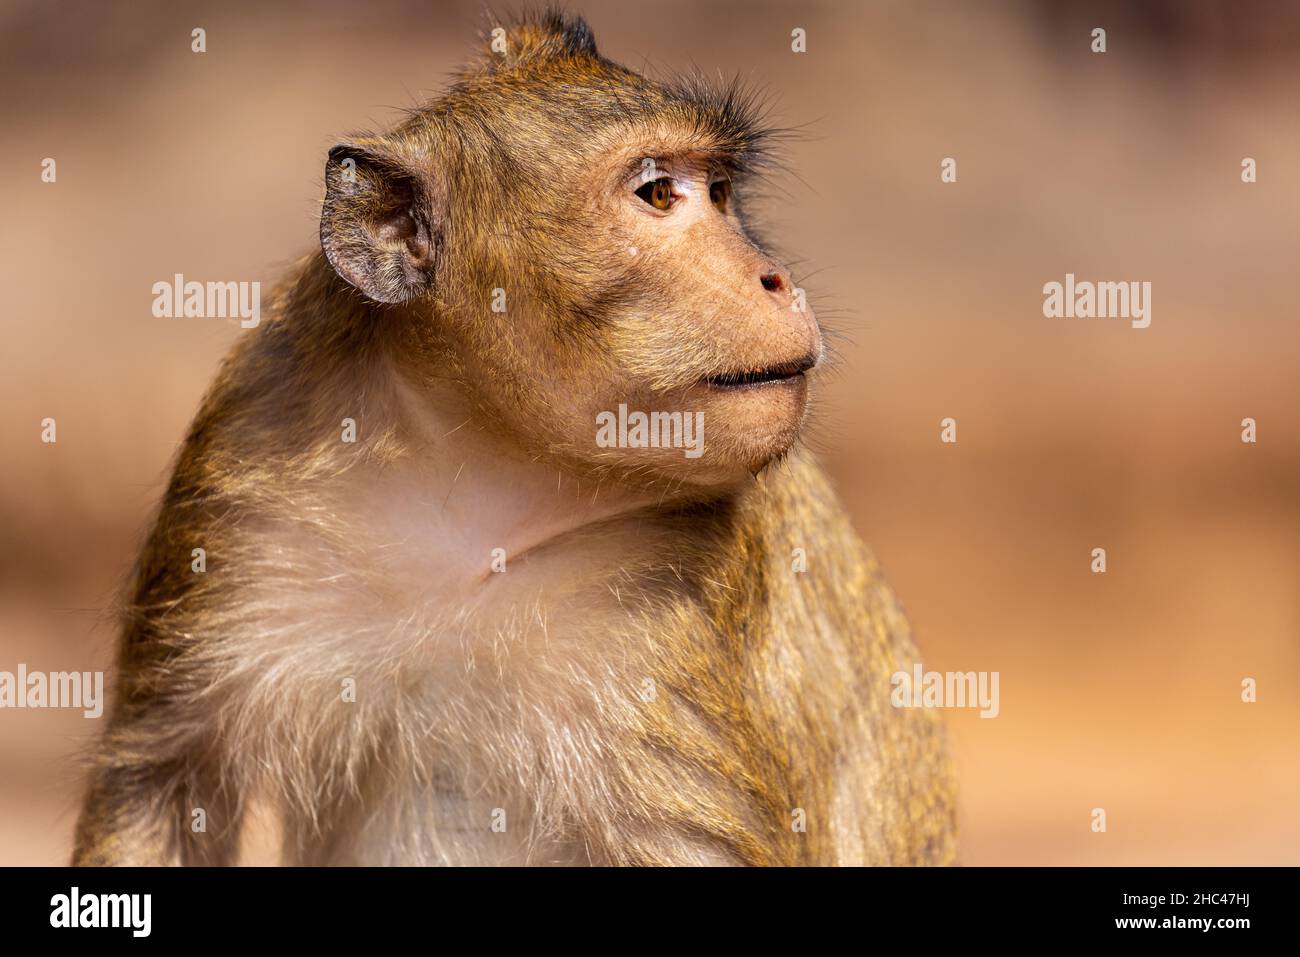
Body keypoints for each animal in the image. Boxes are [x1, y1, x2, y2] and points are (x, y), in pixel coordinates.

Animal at [73, 9, 955, 866]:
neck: (472, 470)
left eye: (722, 191)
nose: (774, 276)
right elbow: (163, 783)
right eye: (658, 193)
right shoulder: (243, 474)